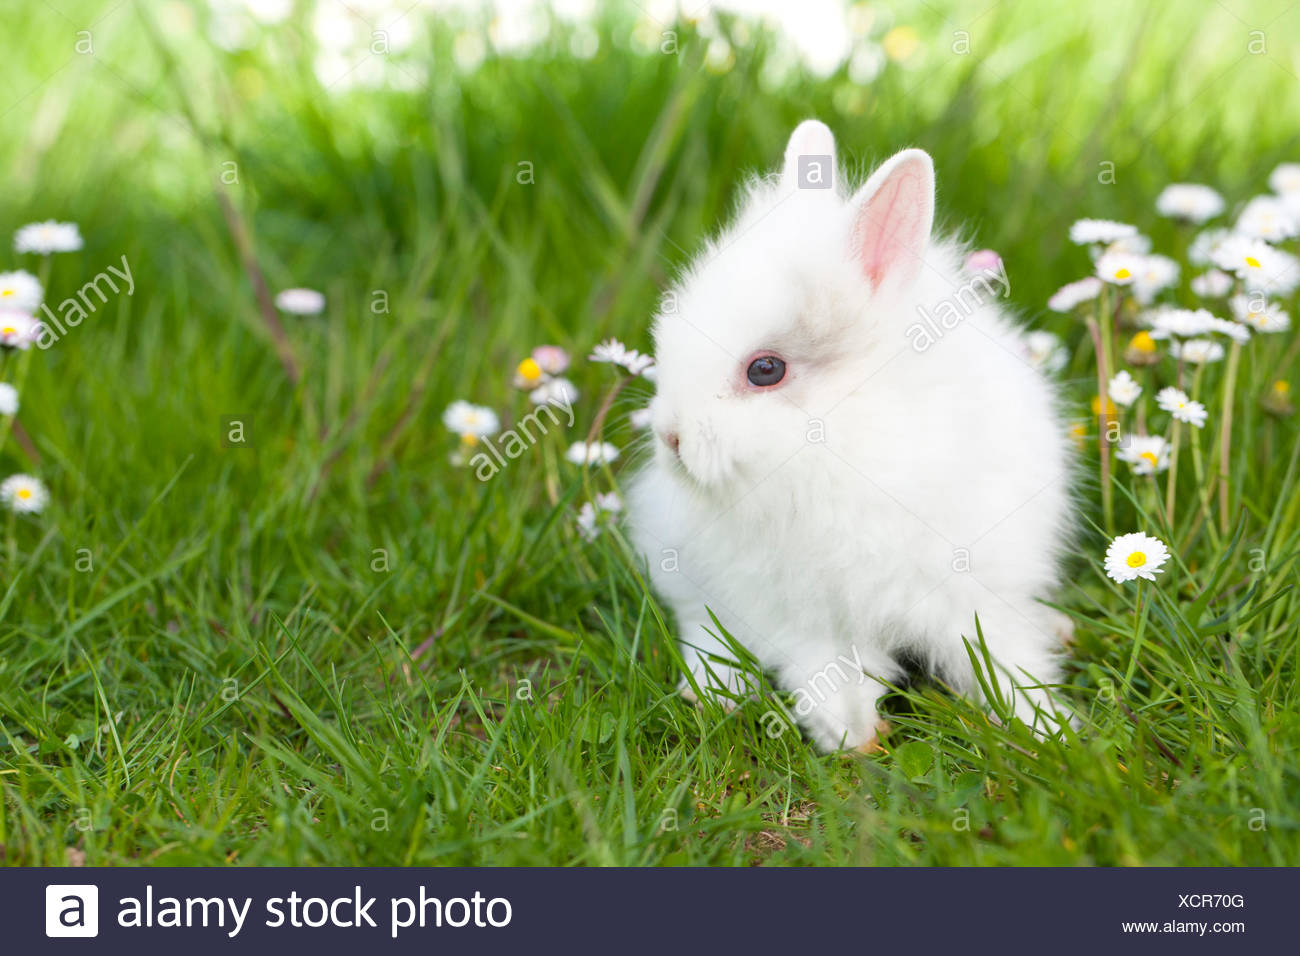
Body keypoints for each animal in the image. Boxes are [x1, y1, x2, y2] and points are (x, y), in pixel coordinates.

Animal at [625, 120, 1077, 752]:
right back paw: (711, 690)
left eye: (766, 369)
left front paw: (1051, 731)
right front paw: (854, 738)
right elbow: (826, 672)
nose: (670, 437)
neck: (841, 446)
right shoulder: (800, 613)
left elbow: (1005, 659)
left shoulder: (972, 590)